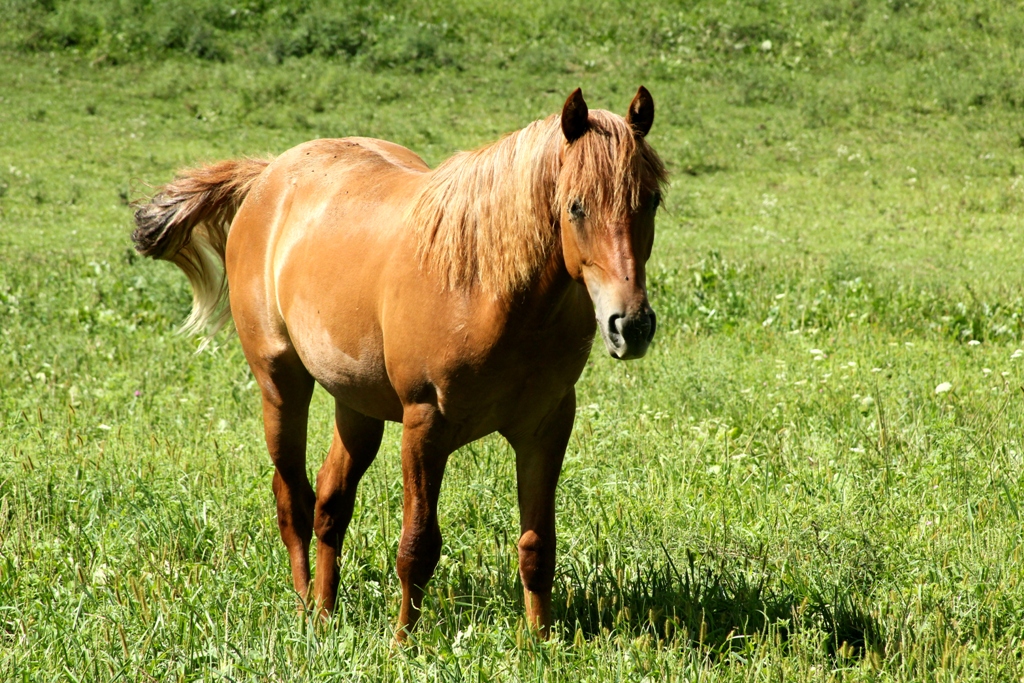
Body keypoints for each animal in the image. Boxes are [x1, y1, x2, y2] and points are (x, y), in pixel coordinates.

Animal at [132, 87, 668, 640]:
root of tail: (268, 175)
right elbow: (418, 547)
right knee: (292, 501)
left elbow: (537, 548)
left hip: (357, 408)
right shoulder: (425, 425)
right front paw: (401, 643)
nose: (631, 325)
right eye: (576, 206)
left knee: (330, 504)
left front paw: (541, 642)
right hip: (281, 387)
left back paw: (326, 611)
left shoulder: (546, 427)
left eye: (652, 200)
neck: (484, 288)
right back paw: (304, 611)